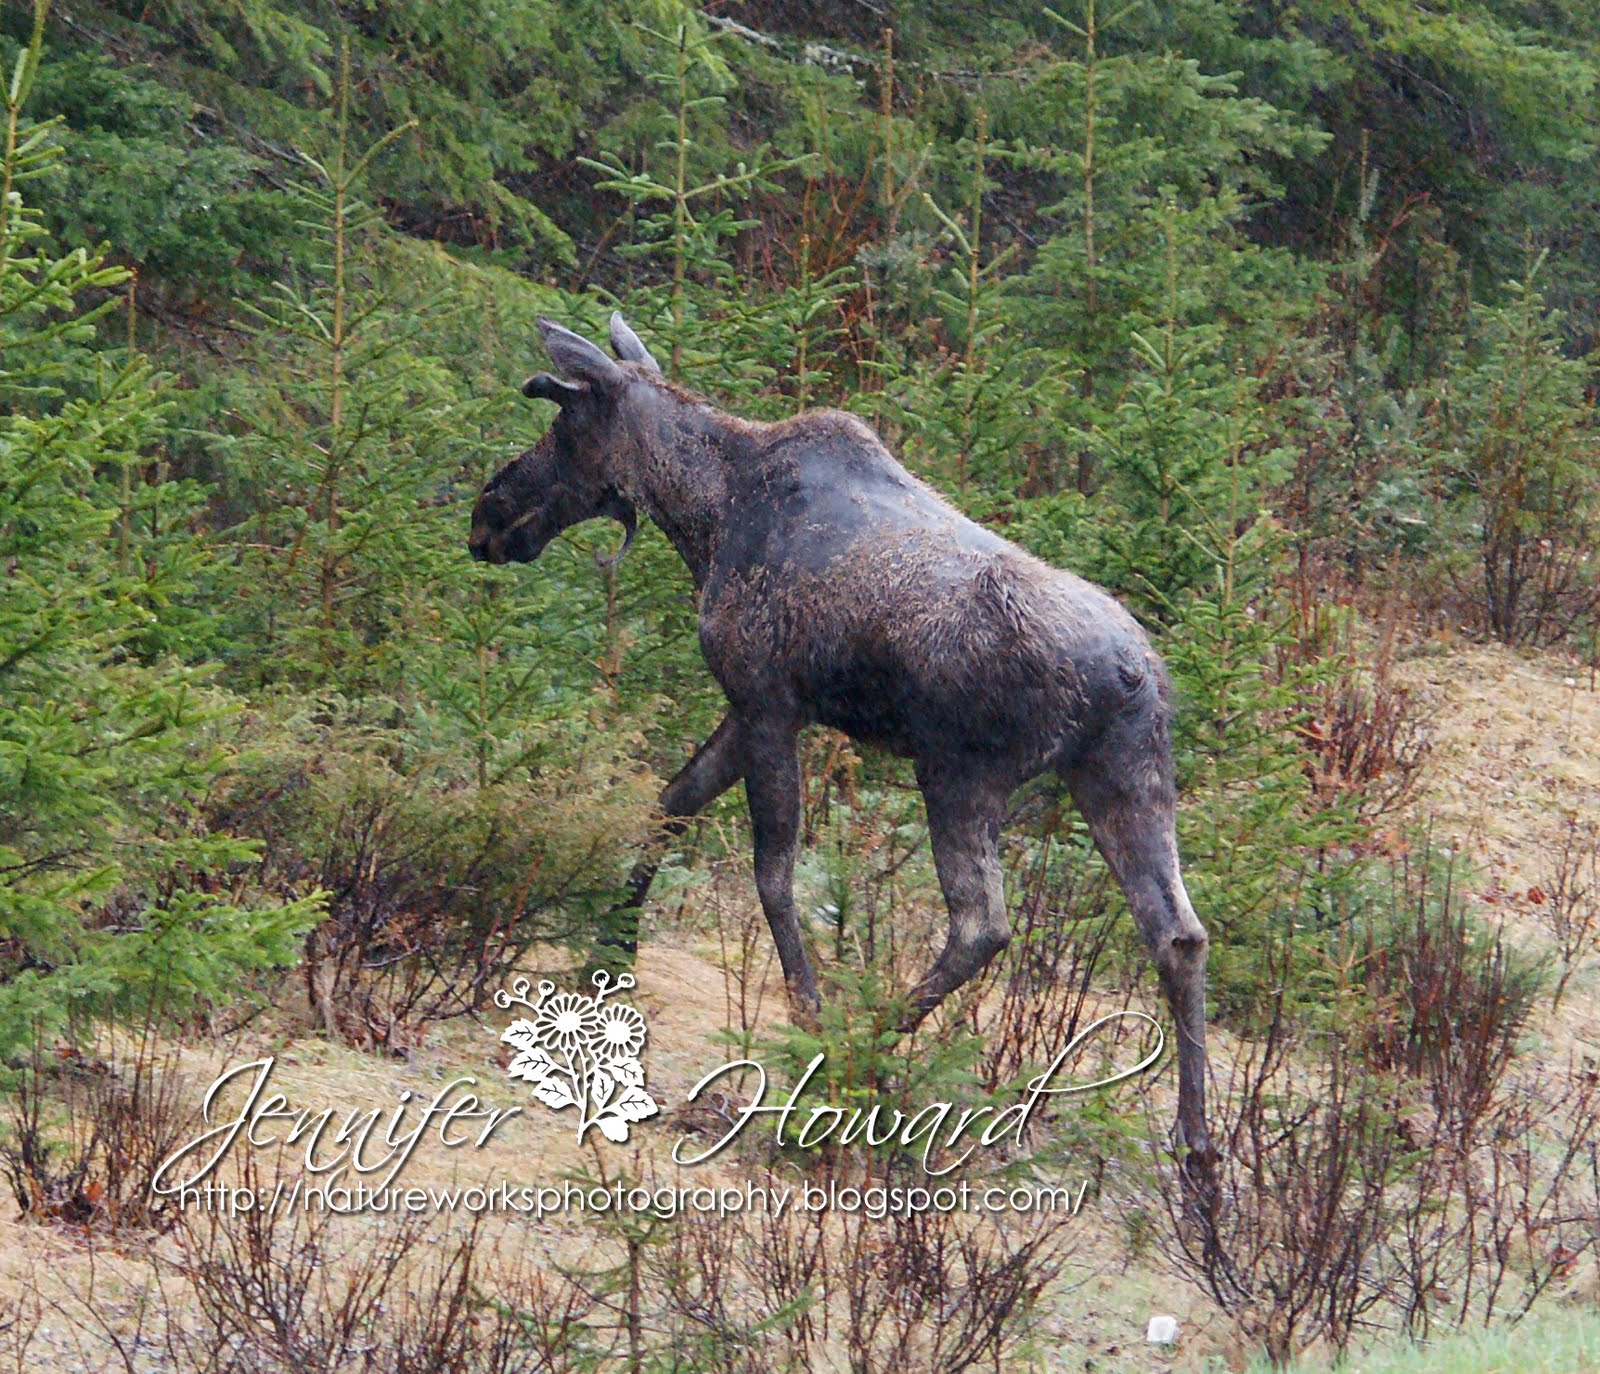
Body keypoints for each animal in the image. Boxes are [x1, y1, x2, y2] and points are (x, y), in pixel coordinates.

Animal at [468, 313, 1217, 1180]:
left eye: (562, 424)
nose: (486, 512)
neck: (704, 513)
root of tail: (1130, 674)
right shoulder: (758, 706)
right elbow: (672, 802)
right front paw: (610, 955)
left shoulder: (766, 700)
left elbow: (772, 871)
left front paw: (809, 1011)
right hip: (1123, 775)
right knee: (1177, 933)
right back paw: (1197, 1151)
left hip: (959, 770)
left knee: (983, 925)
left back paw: (866, 1049)